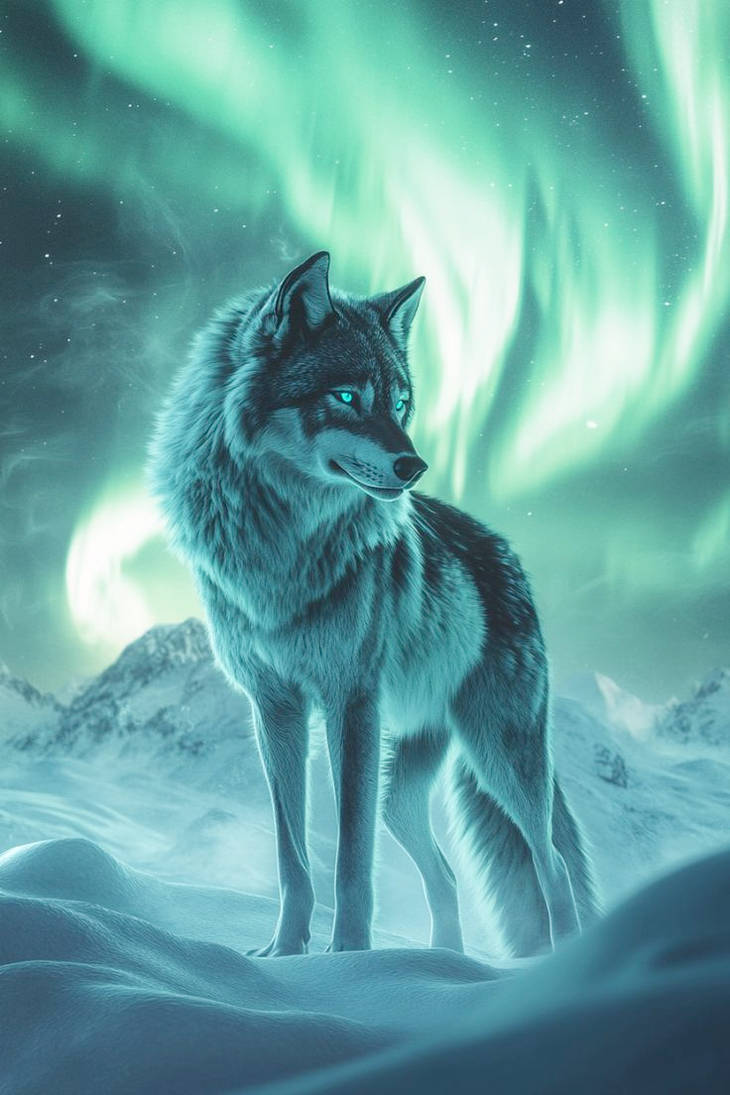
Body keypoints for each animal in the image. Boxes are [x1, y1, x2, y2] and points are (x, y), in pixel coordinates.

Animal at [148, 251, 599, 957]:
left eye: (400, 403)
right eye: (345, 397)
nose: (415, 467)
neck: (280, 544)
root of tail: (508, 554)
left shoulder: (351, 701)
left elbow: (351, 861)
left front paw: (350, 959)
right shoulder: (274, 707)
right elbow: (293, 859)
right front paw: (285, 954)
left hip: (501, 754)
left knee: (549, 861)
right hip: (403, 793)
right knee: (445, 873)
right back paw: (444, 963)